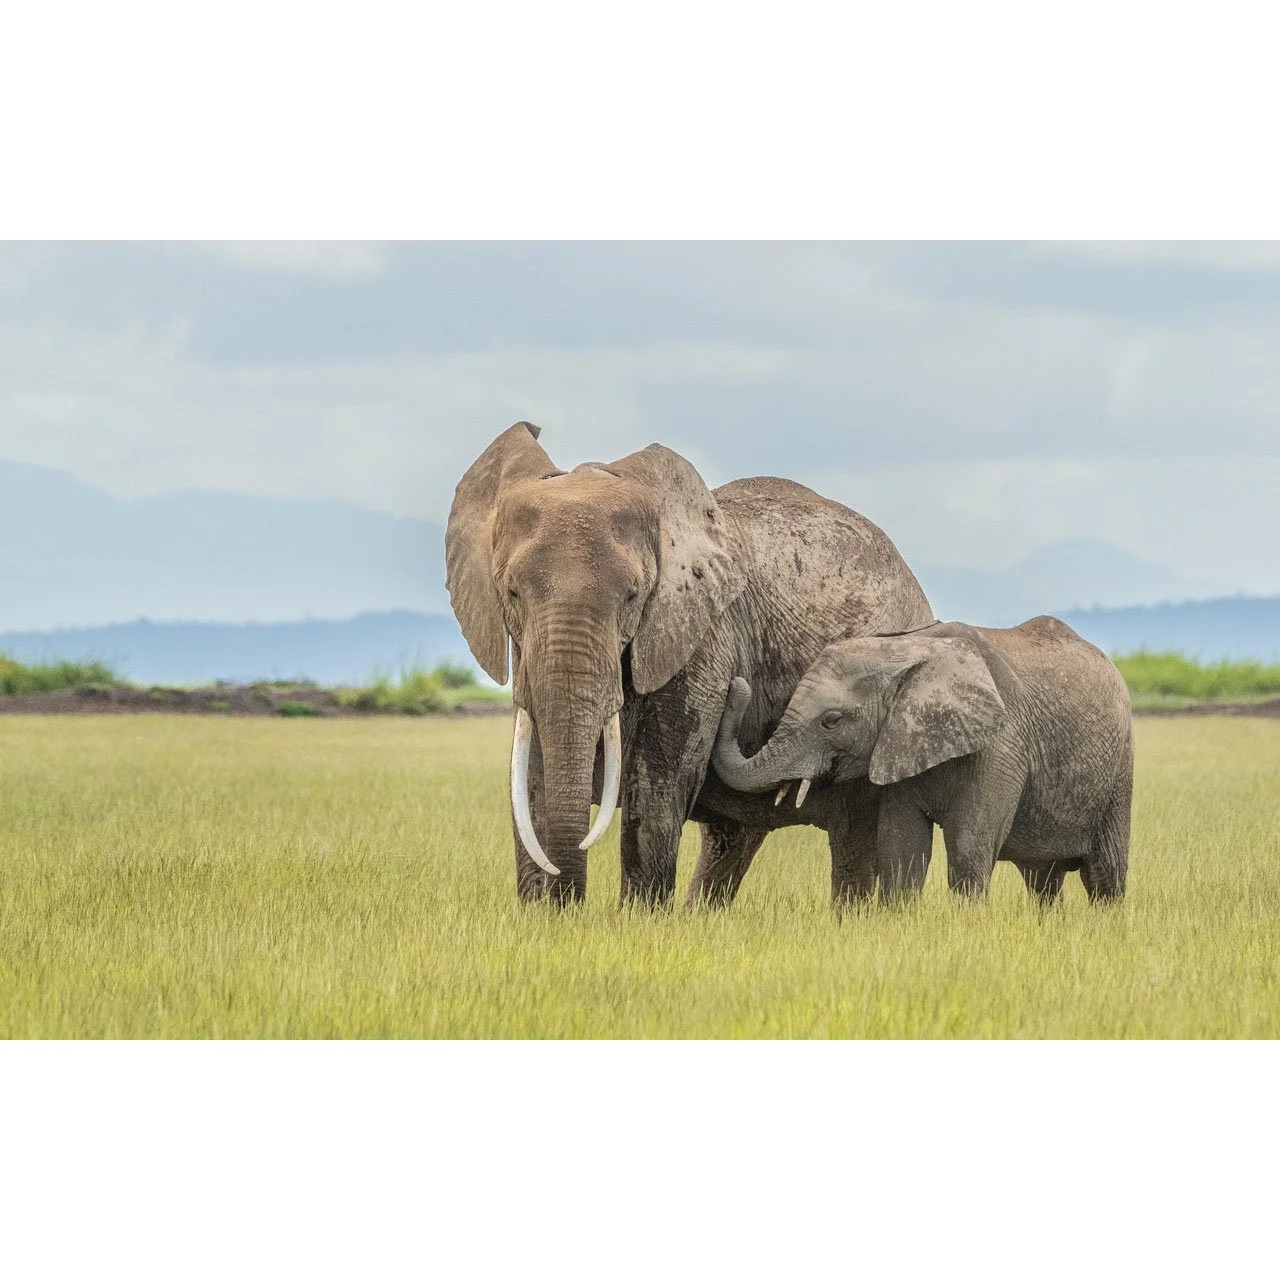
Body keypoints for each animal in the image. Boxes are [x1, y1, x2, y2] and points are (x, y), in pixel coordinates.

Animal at [445, 422, 935, 906]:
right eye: (511, 592)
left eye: (633, 597)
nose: (566, 903)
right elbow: (531, 782)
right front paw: (541, 913)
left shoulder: (701, 639)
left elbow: (656, 790)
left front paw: (637, 919)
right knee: (731, 839)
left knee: (852, 839)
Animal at [711, 616, 1133, 904]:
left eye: (831, 720)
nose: (736, 684)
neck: (907, 651)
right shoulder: (900, 745)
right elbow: (900, 846)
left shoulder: (1000, 745)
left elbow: (968, 847)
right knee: (1044, 880)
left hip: (1121, 769)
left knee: (1105, 875)